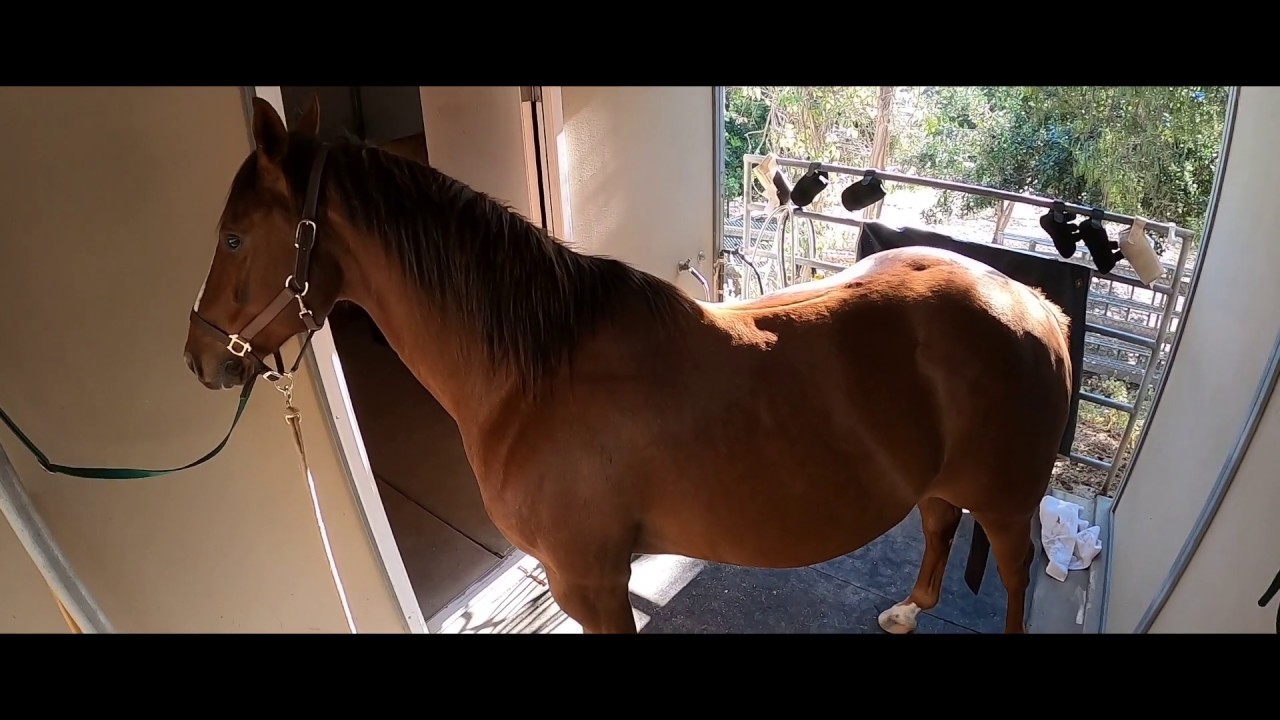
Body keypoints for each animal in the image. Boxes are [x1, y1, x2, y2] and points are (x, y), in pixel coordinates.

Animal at [183, 95, 1073, 634]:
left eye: (232, 238)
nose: (198, 357)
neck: (532, 376)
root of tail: (1034, 303)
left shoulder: (592, 583)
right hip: (942, 481)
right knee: (938, 523)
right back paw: (908, 610)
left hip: (1005, 502)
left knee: (1015, 576)